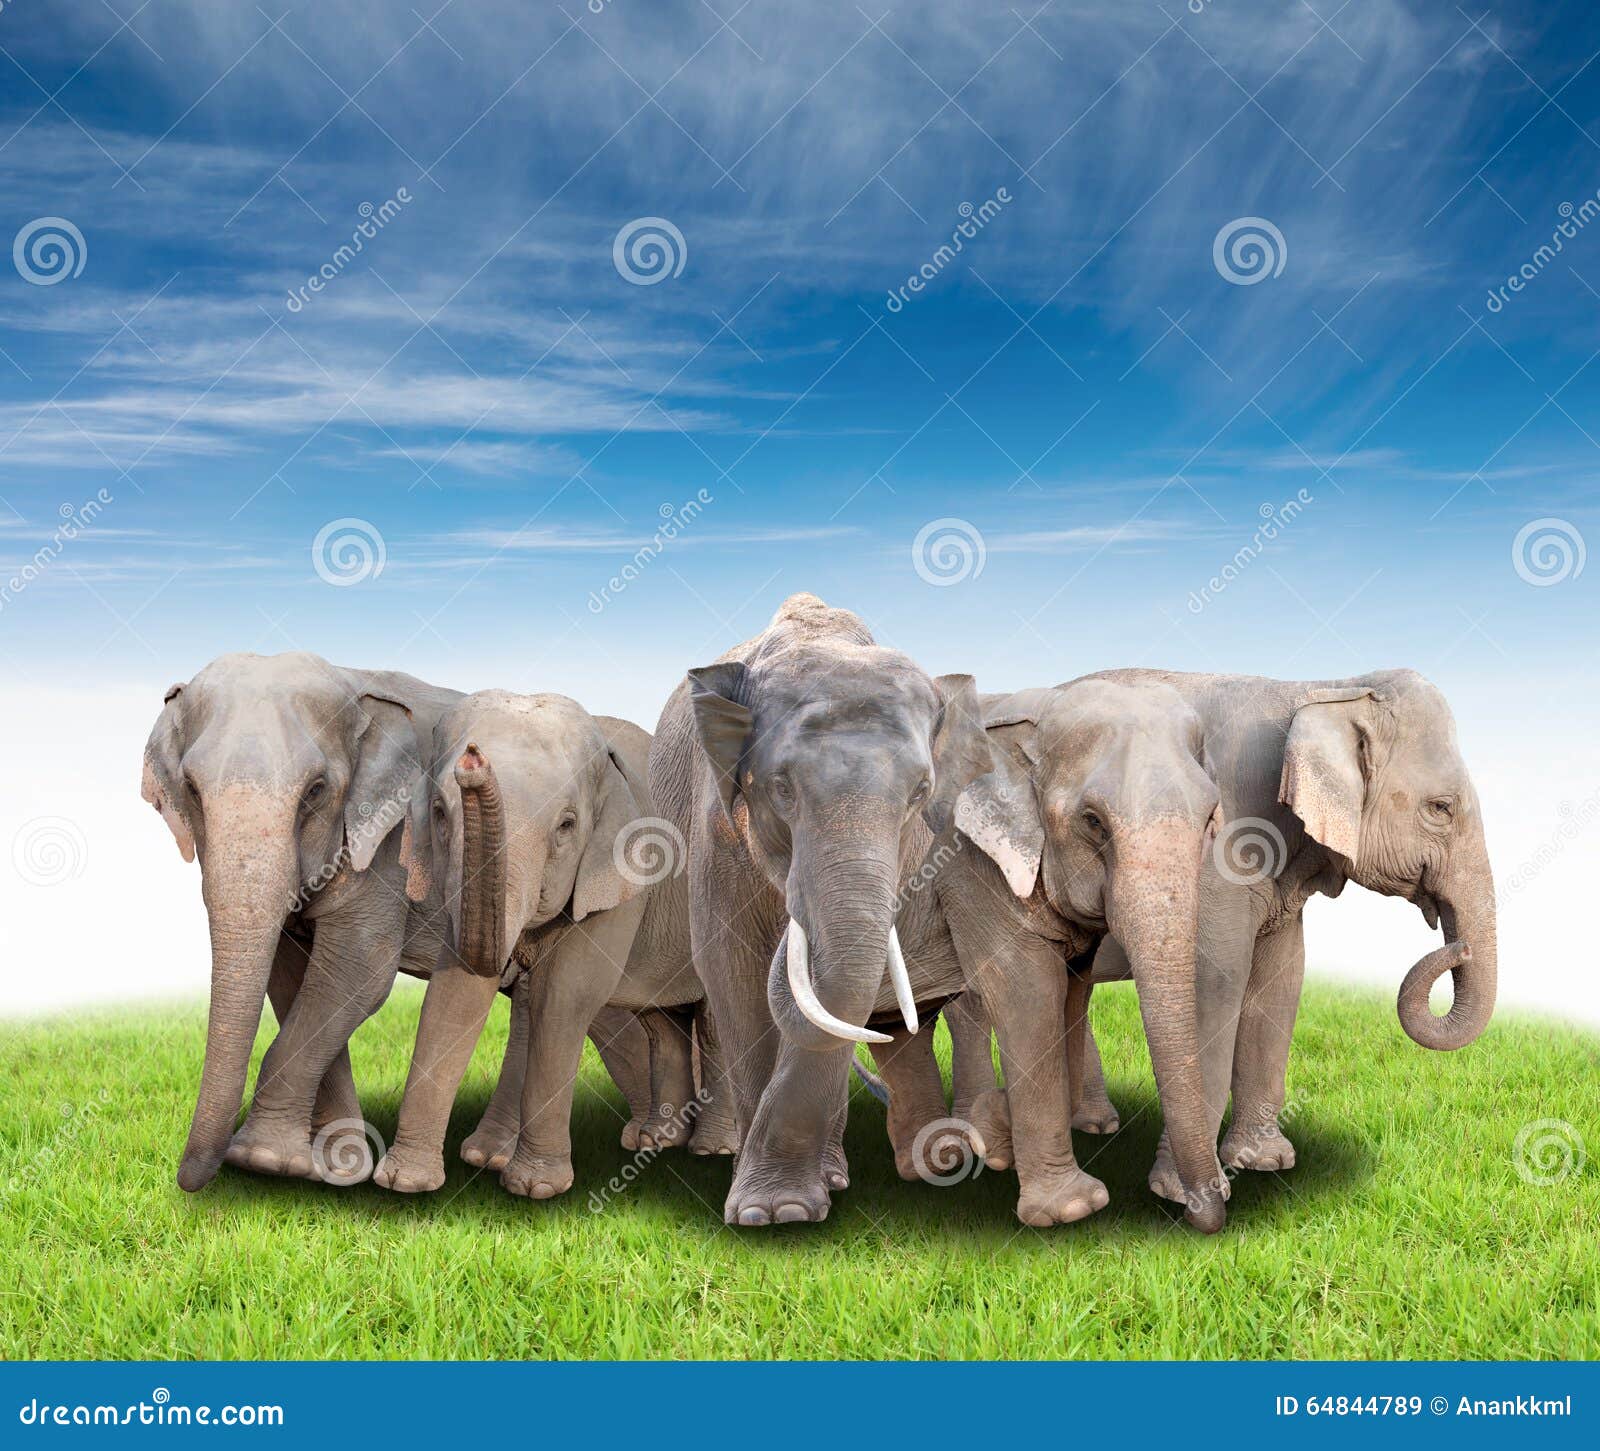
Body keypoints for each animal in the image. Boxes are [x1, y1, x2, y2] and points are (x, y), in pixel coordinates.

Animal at [141, 652, 696, 1192]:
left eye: (316, 790)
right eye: (190, 789)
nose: (188, 1182)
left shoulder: (387, 852)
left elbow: (358, 973)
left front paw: (265, 1161)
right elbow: (290, 977)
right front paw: (340, 1165)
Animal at [372, 690, 737, 1200]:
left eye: (566, 826)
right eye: (440, 814)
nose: (473, 758)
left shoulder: (624, 874)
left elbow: (563, 997)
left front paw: (534, 1187)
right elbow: (455, 996)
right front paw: (405, 1183)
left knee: (716, 1016)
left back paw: (714, 1148)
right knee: (660, 1024)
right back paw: (656, 1140)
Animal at [647, 592, 999, 1226]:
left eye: (920, 792)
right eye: (781, 788)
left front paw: (787, 1205)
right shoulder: (714, 824)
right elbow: (733, 973)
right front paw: (767, 1214)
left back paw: (832, 1174)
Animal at [868, 676, 1230, 1231]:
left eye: (1211, 817)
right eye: (1093, 821)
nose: (1206, 1216)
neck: (1040, 708)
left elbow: (1070, 996)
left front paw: (996, 1136)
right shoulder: (965, 862)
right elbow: (1027, 992)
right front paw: (1071, 1210)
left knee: (896, 1029)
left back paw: (930, 1161)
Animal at [943, 668, 1496, 1204]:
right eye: (1441, 808)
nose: (1458, 946)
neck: (1321, 688)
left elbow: (1281, 982)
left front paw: (1266, 1163)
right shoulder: (1222, 857)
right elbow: (1215, 984)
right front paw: (1186, 1192)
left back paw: (1092, 1126)